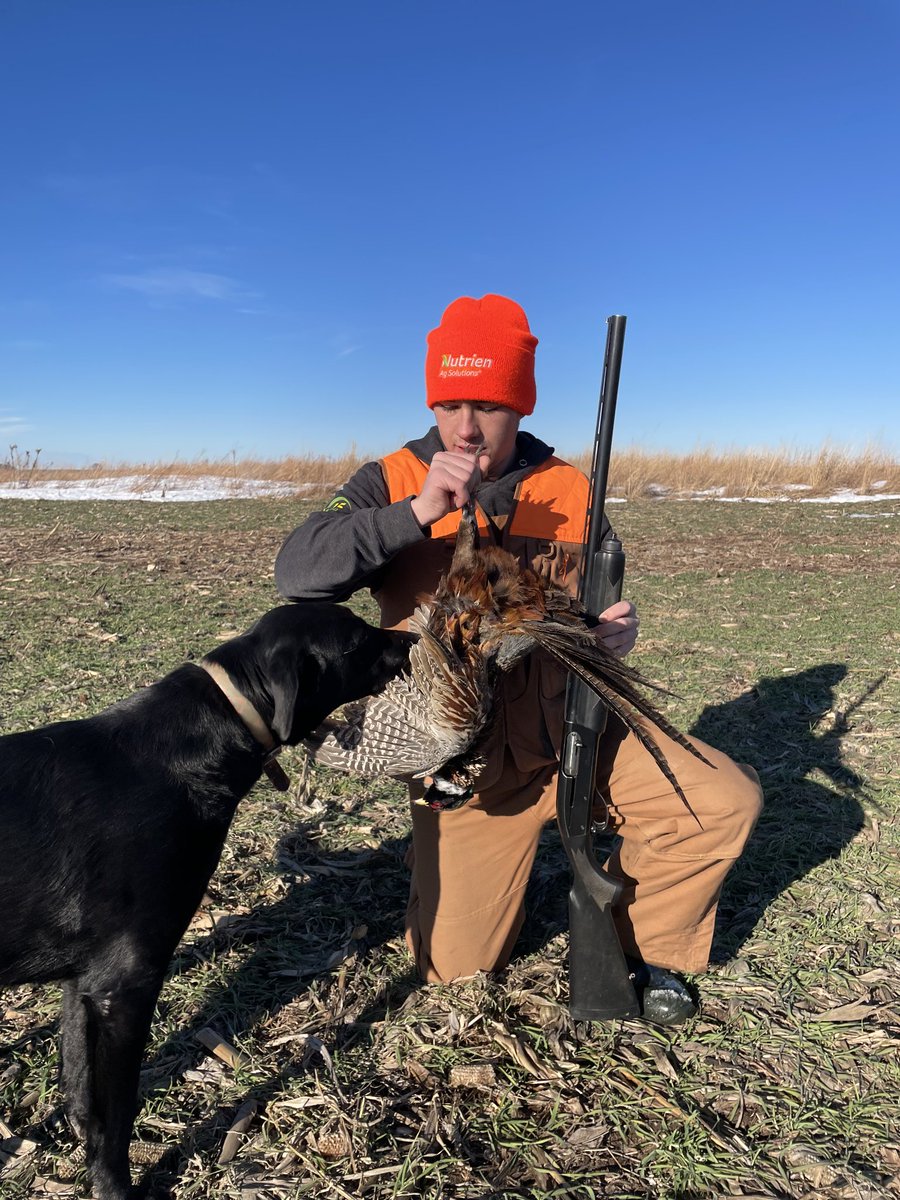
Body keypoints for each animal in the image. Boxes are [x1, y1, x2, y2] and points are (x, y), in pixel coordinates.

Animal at [0, 603, 413, 1200]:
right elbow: (116, 1112)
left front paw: (80, 1139)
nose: (412, 640)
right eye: (358, 639)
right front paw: (114, 1186)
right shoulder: (126, 986)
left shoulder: (85, 983)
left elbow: (80, 1081)